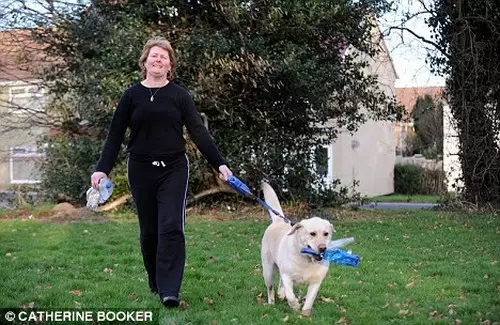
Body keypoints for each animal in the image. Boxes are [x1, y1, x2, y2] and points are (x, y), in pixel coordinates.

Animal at [262, 180, 332, 314]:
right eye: (312, 233)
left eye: (326, 234)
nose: (323, 248)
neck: (307, 260)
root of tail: (278, 221)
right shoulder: (287, 276)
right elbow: (290, 295)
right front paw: (294, 306)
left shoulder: (316, 282)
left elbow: (310, 299)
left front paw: (305, 313)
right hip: (268, 270)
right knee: (270, 288)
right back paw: (271, 303)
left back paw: (280, 294)